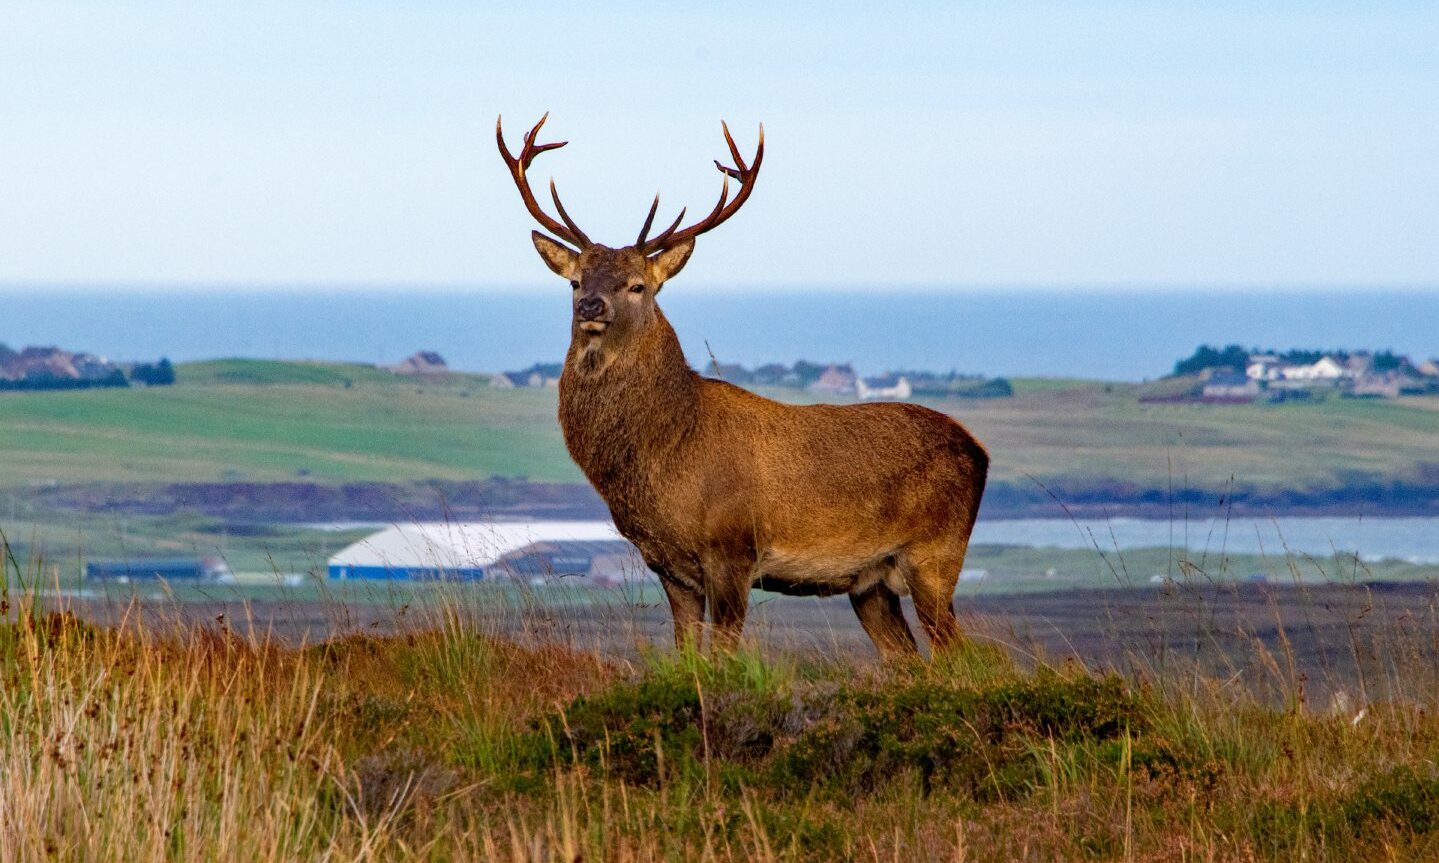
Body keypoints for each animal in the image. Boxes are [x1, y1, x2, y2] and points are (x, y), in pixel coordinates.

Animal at [497, 114, 988, 659]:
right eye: (576, 281)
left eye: (637, 285)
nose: (591, 306)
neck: (666, 452)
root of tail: (979, 451)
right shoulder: (670, 568)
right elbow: (687, 655)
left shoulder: (733, 549)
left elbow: (724, 655)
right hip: (870, 583)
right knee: (907, 659)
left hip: (935, 555)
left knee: (962, 655)